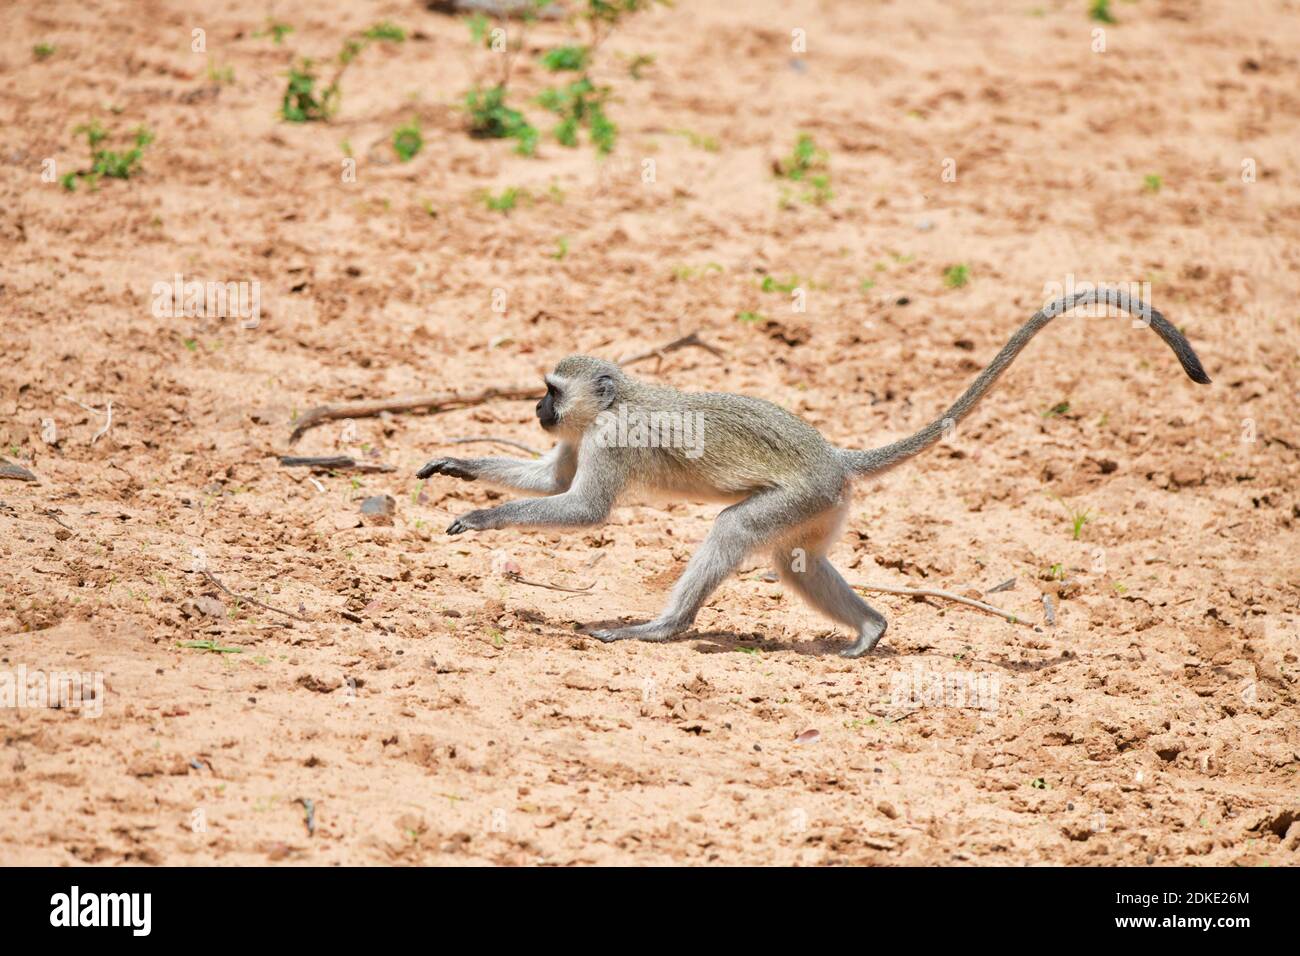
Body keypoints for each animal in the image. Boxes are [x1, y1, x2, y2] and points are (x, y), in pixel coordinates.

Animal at [417, 288, 1210, 657]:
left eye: (551, 390)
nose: (537, 409)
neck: (621, 400)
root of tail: (834, 456)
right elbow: (553, 486)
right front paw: (456, 465)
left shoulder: (609, 439)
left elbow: (583, 511)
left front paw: (482, 517)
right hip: (822, 505)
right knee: (794, 560)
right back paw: (870, 628)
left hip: (802, 494)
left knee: (733, 533)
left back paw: (664, 628)